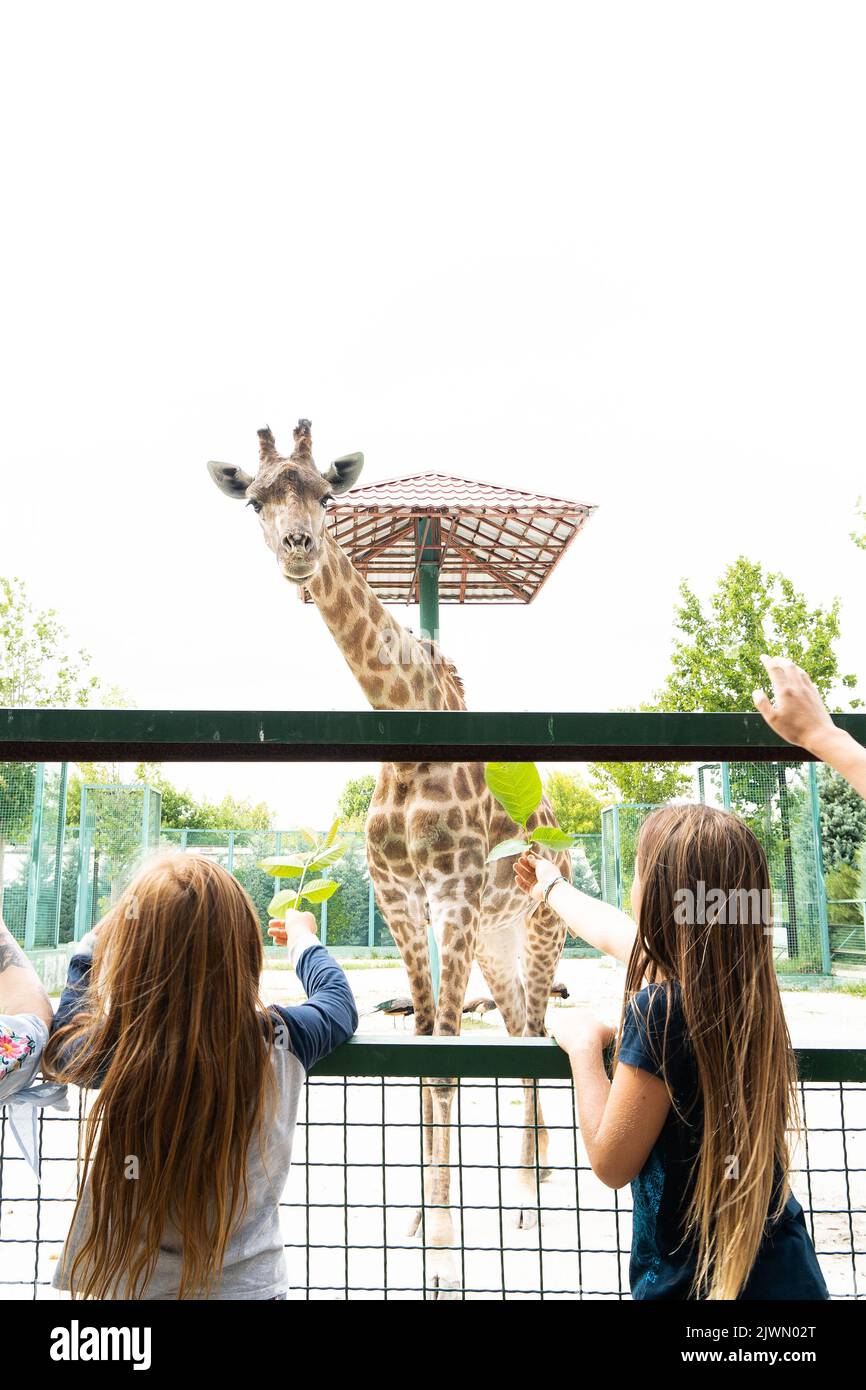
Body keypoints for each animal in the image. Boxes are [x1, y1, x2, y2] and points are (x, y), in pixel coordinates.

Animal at [208, 419, 571, 1296]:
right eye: (257, 500)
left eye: (326, 494)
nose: (299, 547)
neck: (407, 737)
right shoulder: (403, 899)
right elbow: (422, 1048)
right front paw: (414, 1225)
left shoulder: (454, 893)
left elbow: (444, 1061)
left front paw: (444, 1257)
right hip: (501, 942)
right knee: (517, 1028)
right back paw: (525, 1189)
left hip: (539, 926)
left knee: (536, 1039)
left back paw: (528, 1208)